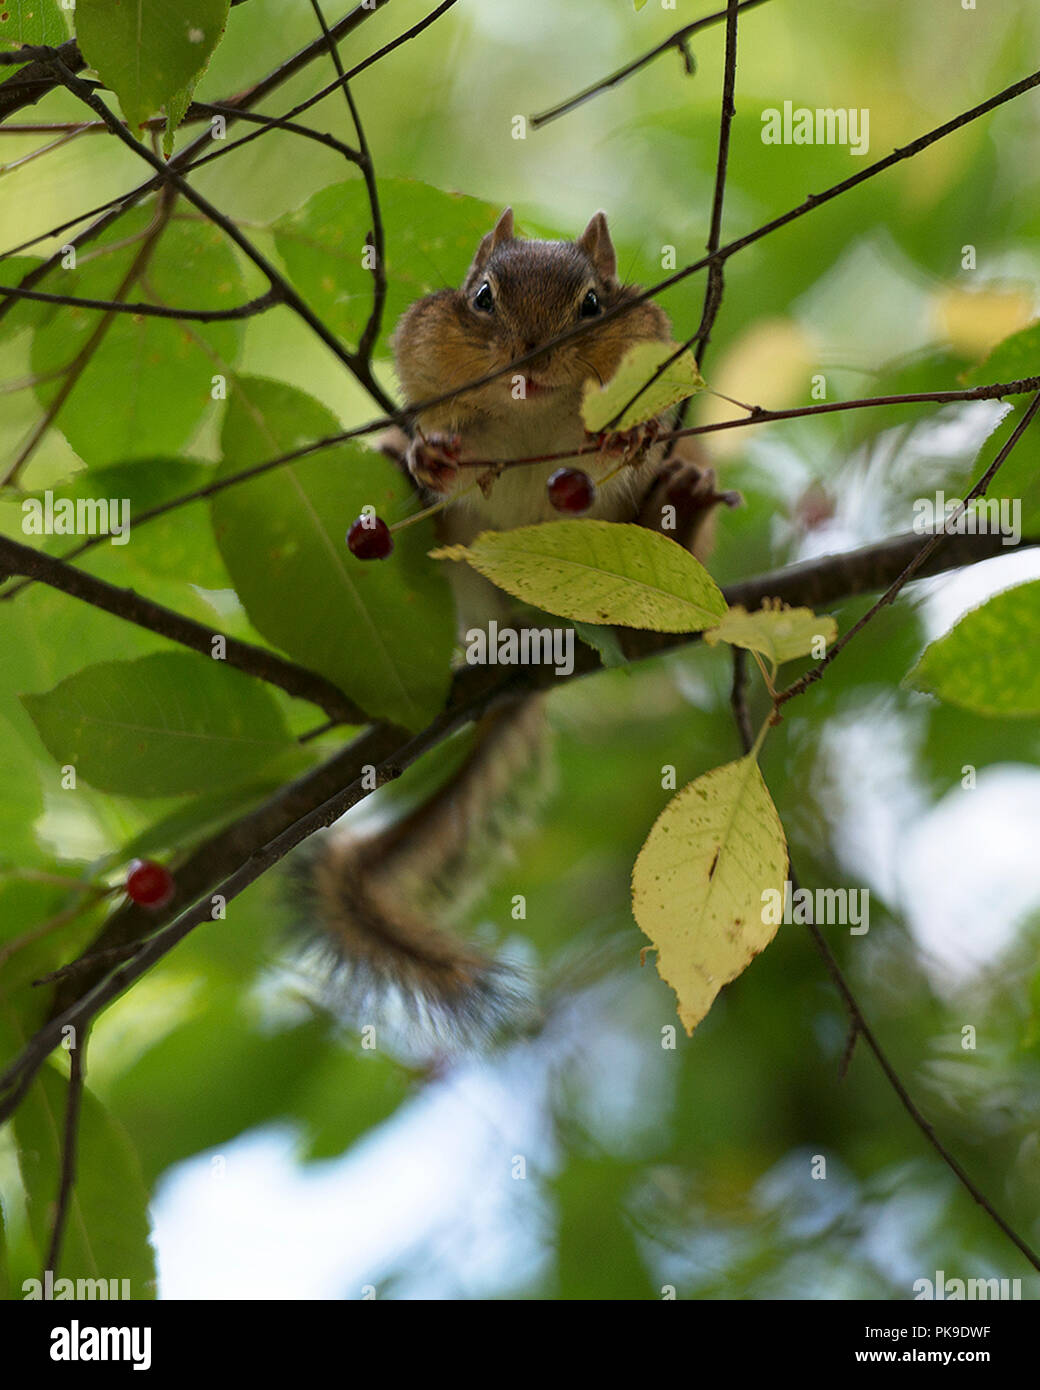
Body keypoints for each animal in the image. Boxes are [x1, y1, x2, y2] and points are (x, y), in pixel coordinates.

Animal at [304, 209, 733, 1043]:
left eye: (594, 304)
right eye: (481, 297)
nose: (529, 356)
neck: (534, 418)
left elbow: (638, 428)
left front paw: (630, 441)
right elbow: (433, 434)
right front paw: (424, 456)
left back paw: (683, 498)